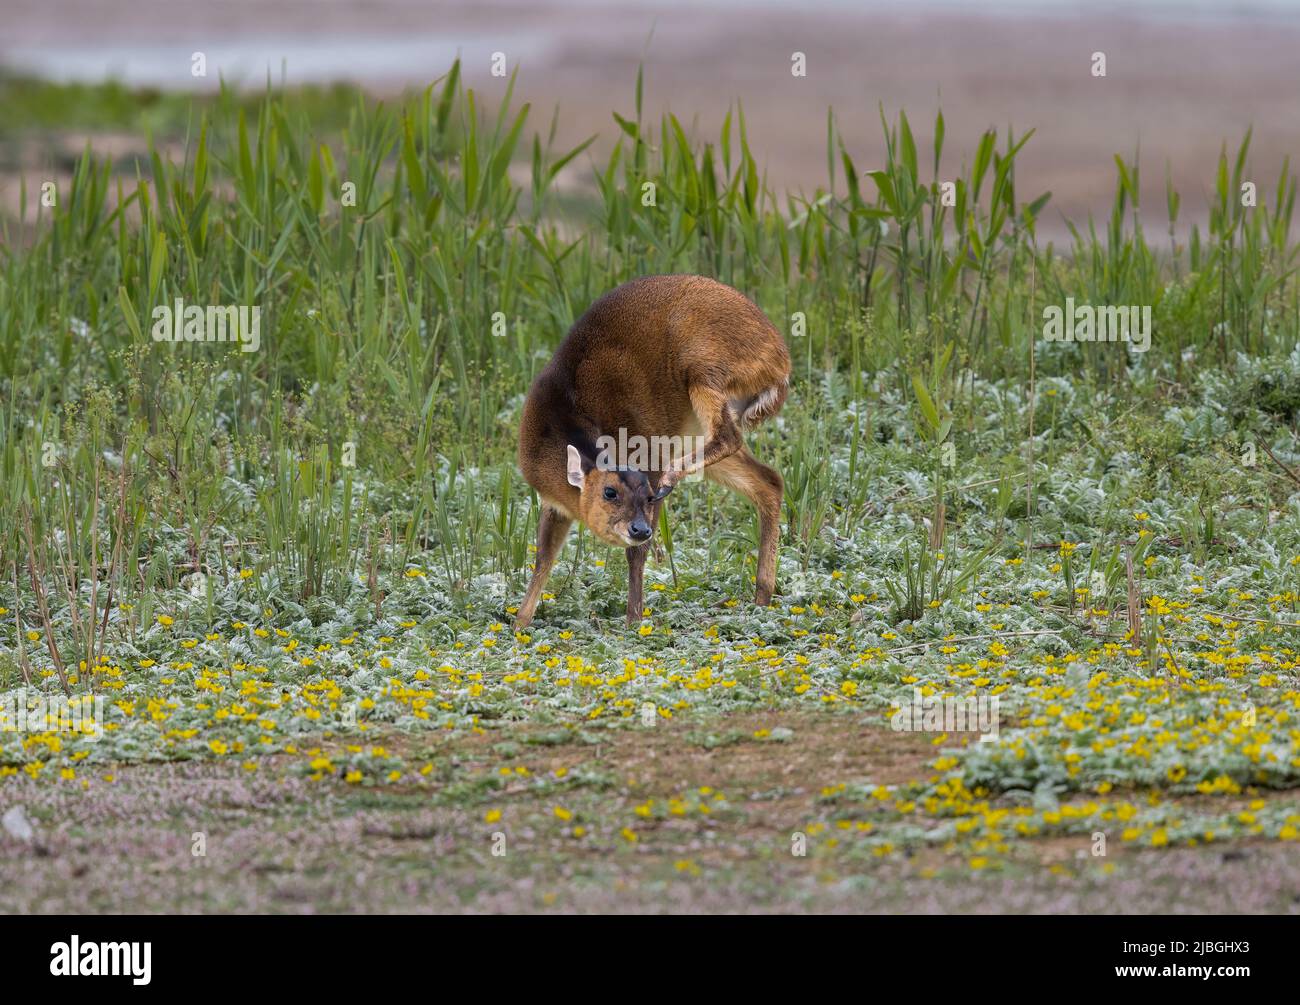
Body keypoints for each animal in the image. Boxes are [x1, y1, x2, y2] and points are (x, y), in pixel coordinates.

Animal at [514, 274, 791, 630]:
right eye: (609, 492)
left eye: (647, 496)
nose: (640, 529)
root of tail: (781, 360)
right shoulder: (553, 503)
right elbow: (543, 557)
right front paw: (519, 623)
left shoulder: (651, 460)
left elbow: (636, 552)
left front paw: (633, 622)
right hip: (692, 432)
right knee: (769, 480)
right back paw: (762, 597)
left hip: (703, 368)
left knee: (730, 437)